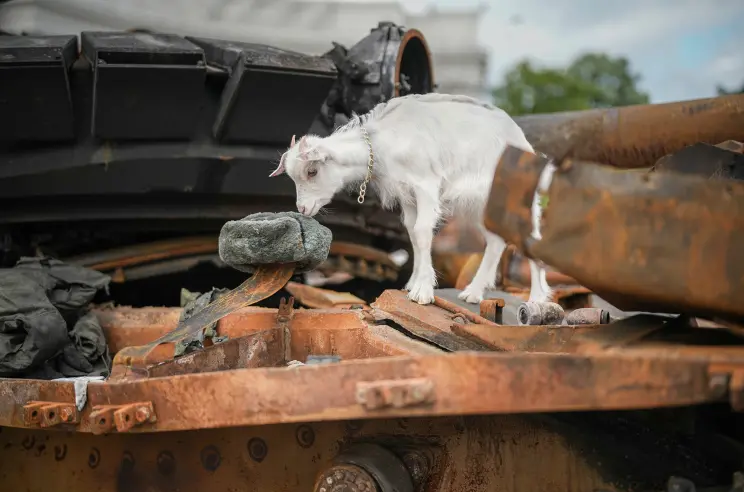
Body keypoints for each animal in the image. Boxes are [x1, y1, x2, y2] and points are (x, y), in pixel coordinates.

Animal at [268, 93, 553, 306]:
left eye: (312, 171)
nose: (303, 208)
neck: (383, 143)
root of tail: (521, 138)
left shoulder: (425, 185)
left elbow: (423, 232)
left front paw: (423, 292)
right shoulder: (406, 193)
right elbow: (413, 234)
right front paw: (412, 284)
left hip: (518, 196)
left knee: (531, 237)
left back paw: (537, 300)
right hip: (481, 204)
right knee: (496, 241)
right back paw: (473, 294)